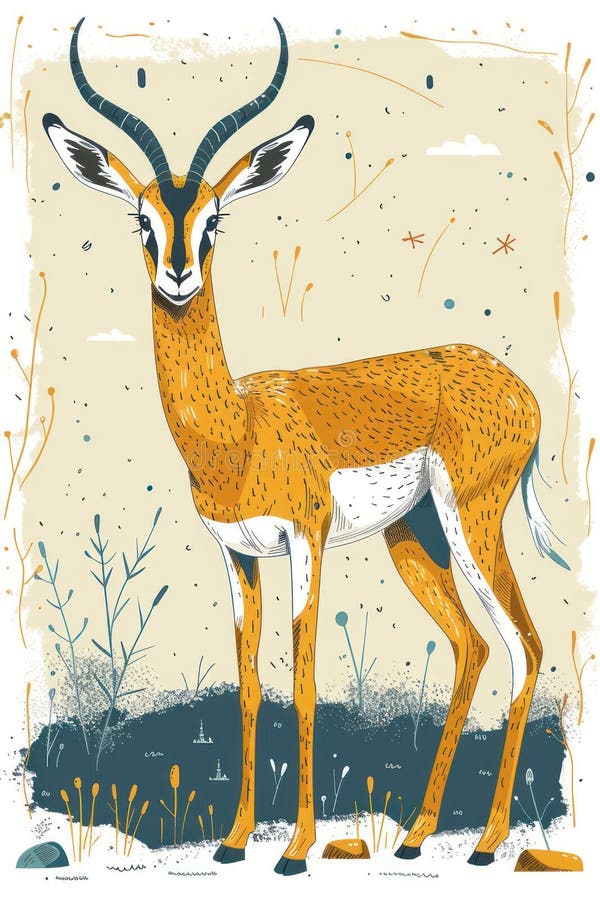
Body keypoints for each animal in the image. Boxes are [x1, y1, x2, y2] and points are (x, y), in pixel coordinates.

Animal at [44, 17, 568, 876]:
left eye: (214, 221)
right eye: (143, 222)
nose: (179, 275)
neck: (236, 429)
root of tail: (518, 385)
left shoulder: (306, 541)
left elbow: (303, 676)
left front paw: (294, 848)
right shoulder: (236, 553)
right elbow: (252, 681)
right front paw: (232, 842)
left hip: (470, 521)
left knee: (524, 644)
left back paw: (487, 844)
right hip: (412, 535)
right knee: (472, 647)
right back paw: (418, 835)